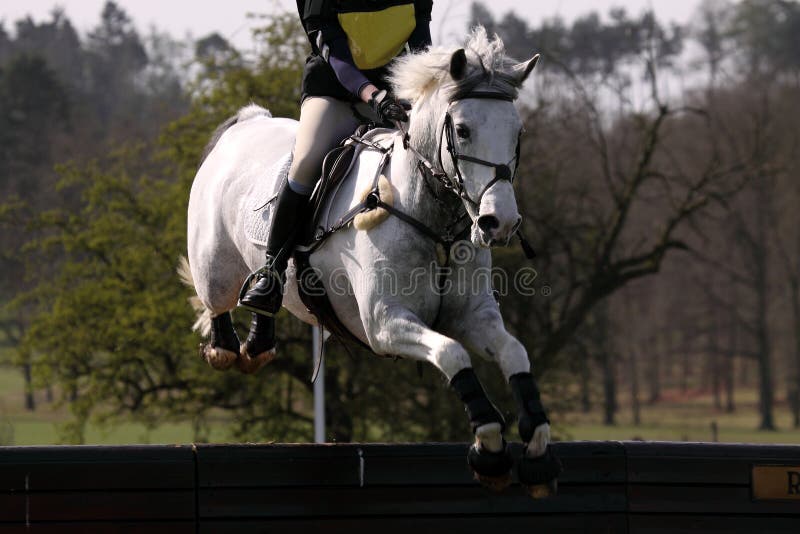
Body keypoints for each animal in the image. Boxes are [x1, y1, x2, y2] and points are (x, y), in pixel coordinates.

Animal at [181, 27, 561, 496]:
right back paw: (229, 347)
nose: (500, 222)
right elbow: (452, 353)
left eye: (517, 132)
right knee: (218, 299)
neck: (428, 214)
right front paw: (489, 449)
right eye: (463, 130)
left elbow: (514, 352)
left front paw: (538, 444)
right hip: (213, 263)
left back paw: (258, 343)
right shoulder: (385, 323)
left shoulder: (472, 316)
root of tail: (247, 123)